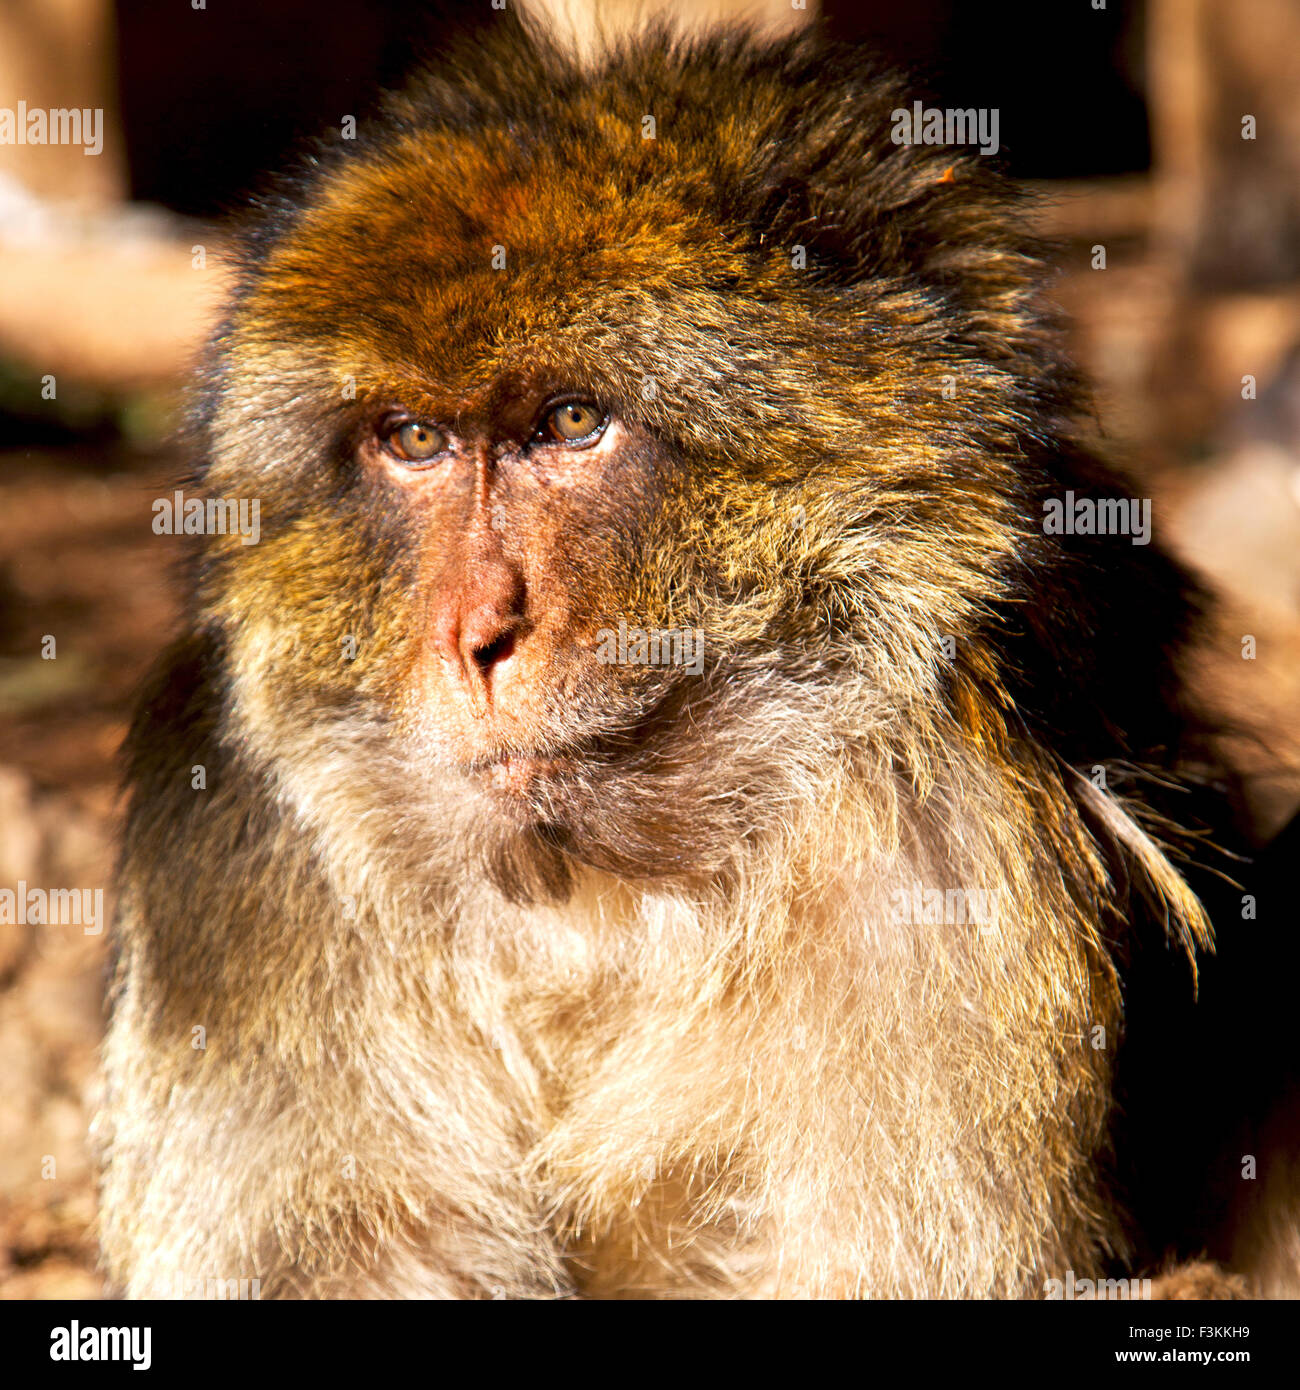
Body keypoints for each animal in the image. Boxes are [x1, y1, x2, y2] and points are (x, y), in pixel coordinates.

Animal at [95, 16, 1300, 1299]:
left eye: (571, 423)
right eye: (411, 440)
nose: (477, 636)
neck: (595, 896)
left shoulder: (941, 848)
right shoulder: (232, 873)